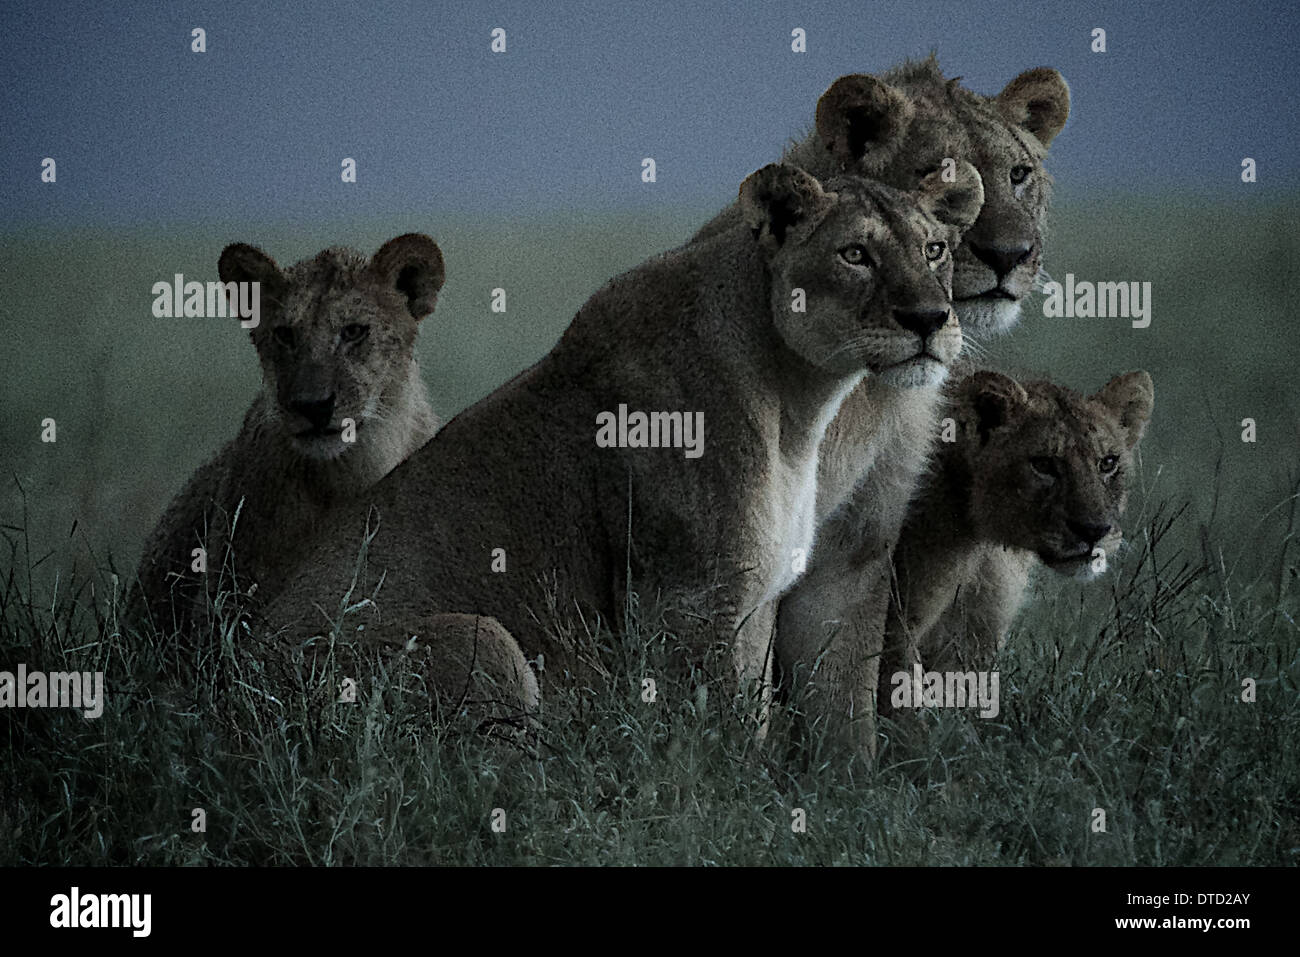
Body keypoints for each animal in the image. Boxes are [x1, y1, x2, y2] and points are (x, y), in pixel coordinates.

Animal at [260, 161, 985, 721]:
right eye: (855, 254)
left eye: (935, 249)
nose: (930, 319)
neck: (798, 398)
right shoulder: (689, 599)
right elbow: (714, 742)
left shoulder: (752, 601)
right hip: (478, 638)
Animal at [878, 370, 1154, 699]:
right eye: (1043, 464)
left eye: (1108, 463)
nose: (1094, 531)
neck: (980, 540)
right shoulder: (898, 627)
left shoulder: (978, 635)